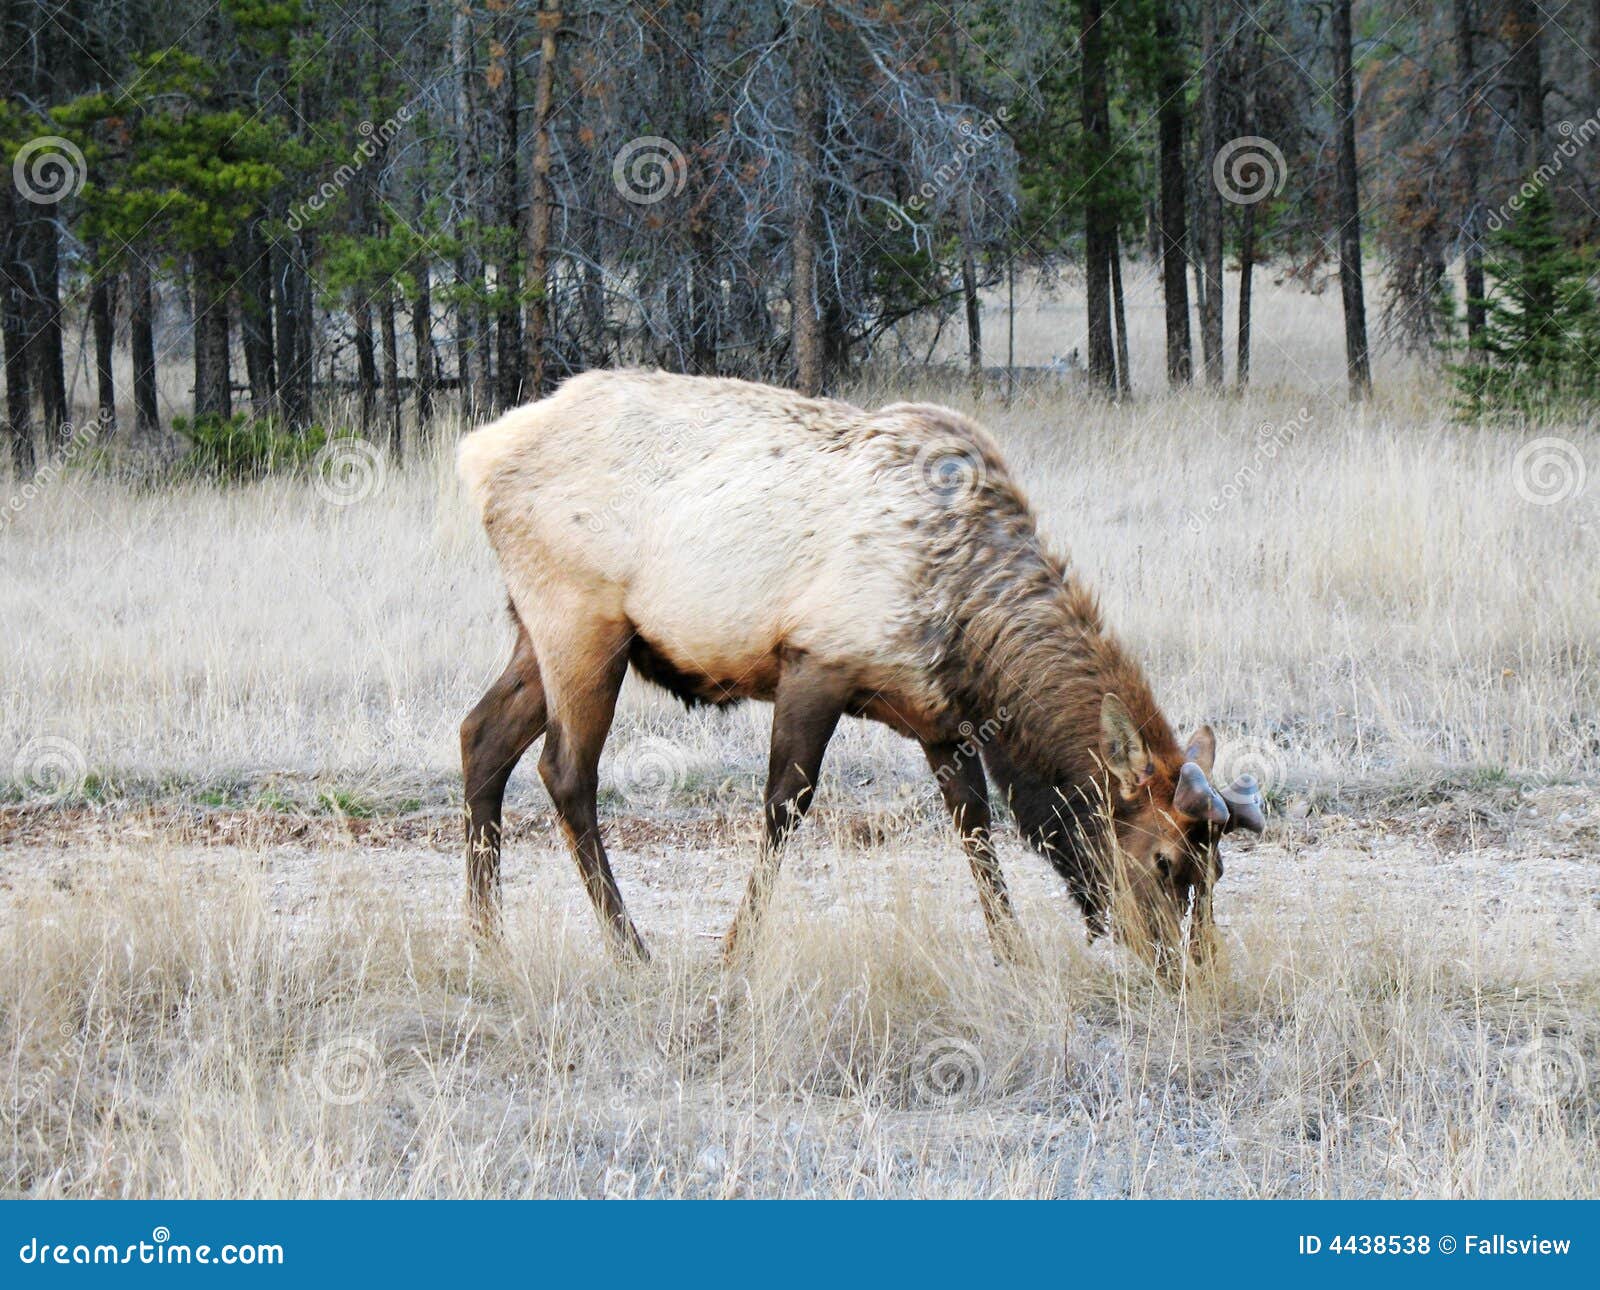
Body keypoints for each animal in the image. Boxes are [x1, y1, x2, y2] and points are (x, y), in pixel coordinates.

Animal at [456, 369, 1263, 971]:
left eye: (1219, 870)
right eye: (1164, 862)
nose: (1183, 968)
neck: (971, 634)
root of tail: (480, 454)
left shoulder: (943, 720)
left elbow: (974, 826)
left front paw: (1014, 951)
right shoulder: (816, 663)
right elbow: (785, 807)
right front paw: (734, 953)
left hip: (536, 631)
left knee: (480, 736)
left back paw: (486, 938)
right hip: (582, 622)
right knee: (566, 772)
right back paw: (631, 950)